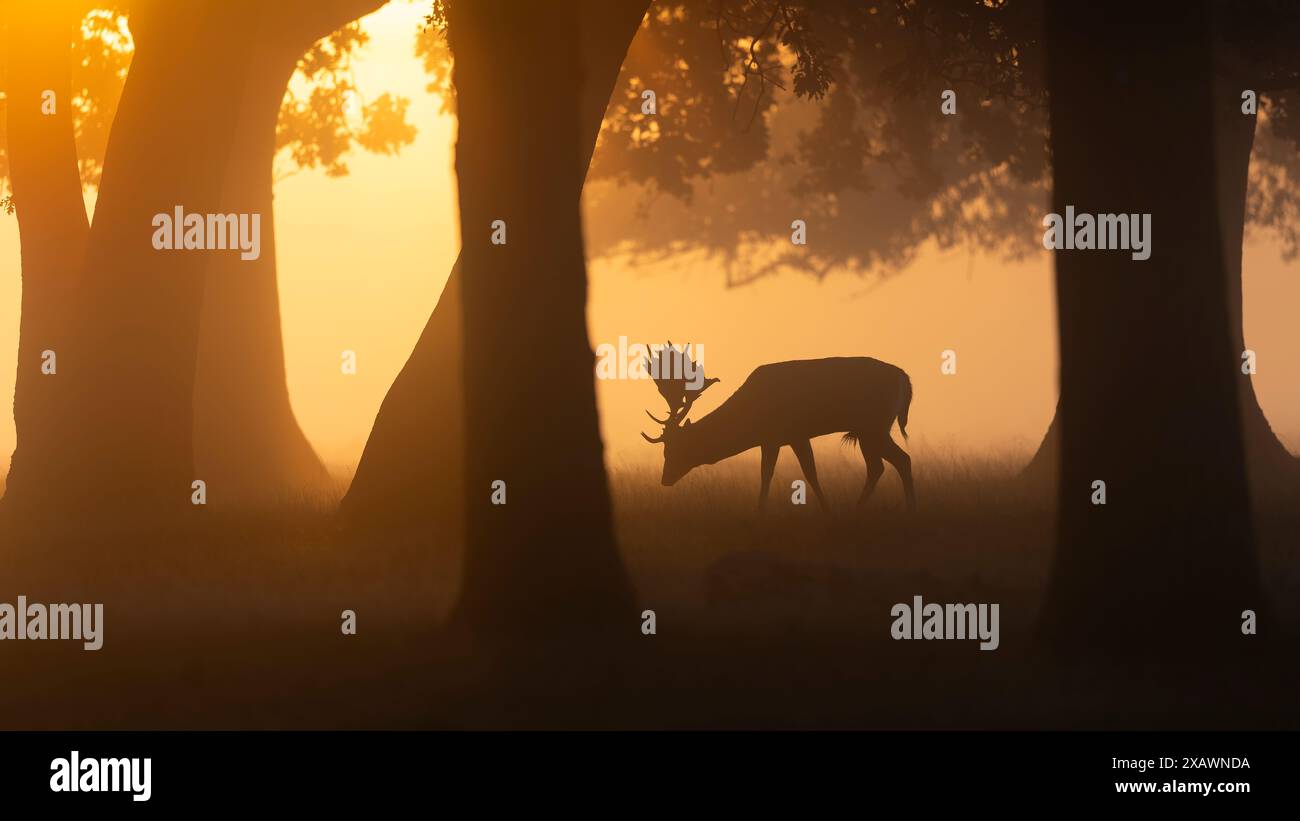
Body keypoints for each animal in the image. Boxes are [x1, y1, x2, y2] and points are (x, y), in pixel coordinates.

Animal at [640, 343, 915, 512]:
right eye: (665, 451)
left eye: (676, 450)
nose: (665, 479)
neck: (751, 418)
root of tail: (905, 379)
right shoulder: (780, 438)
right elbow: (793, 473)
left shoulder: (786, 434)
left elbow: (786, 474)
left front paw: (762, 511)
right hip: (869, 429)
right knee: (882, 466)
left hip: (874, 424)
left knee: (898, 461)